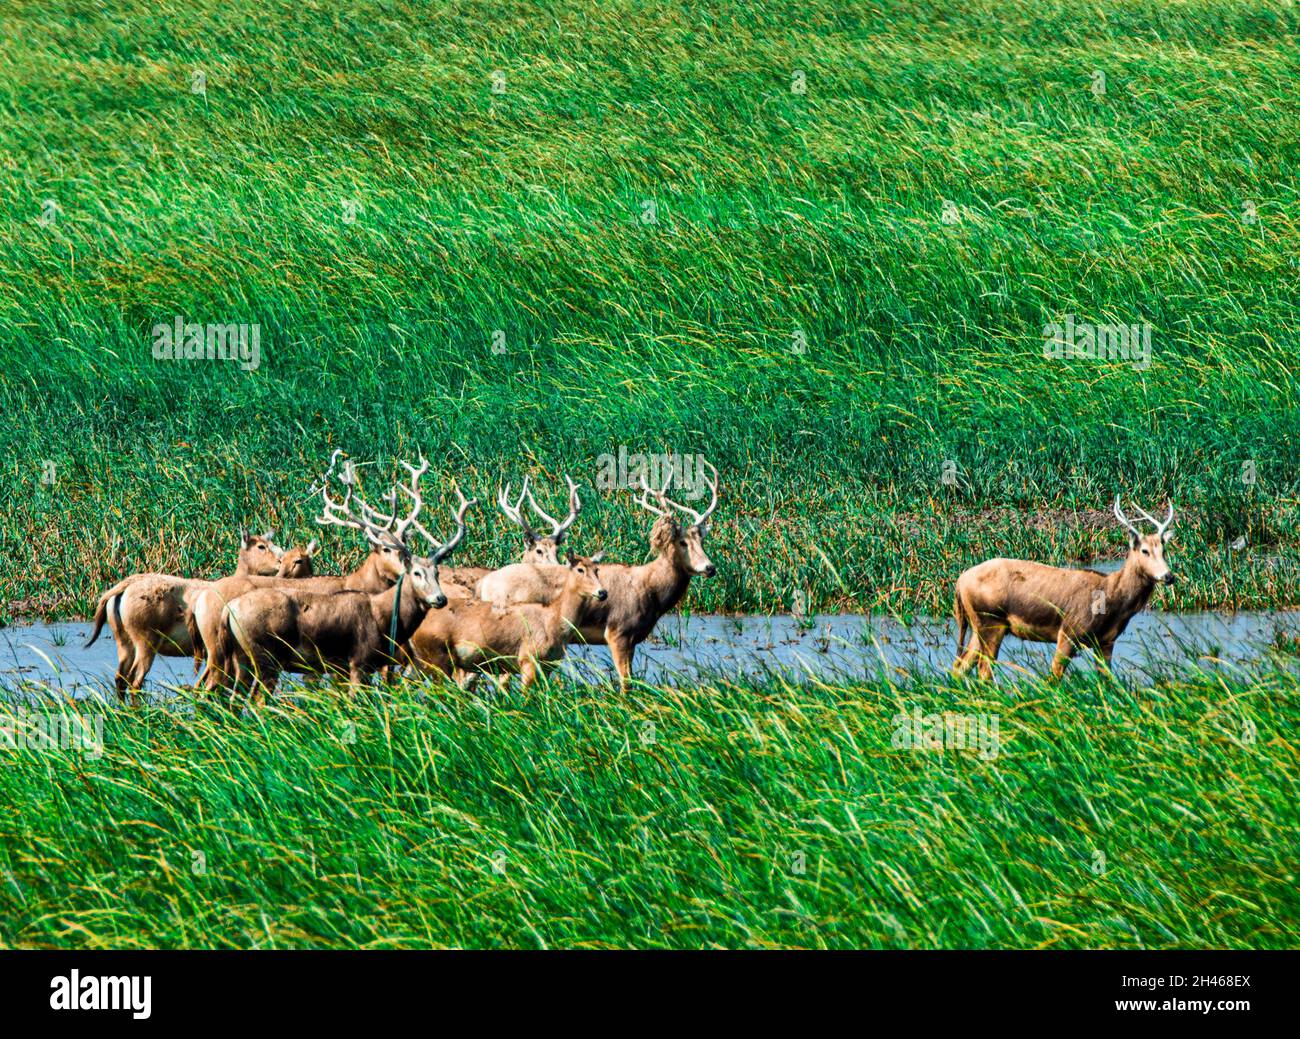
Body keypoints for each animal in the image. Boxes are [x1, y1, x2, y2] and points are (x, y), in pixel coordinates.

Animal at [84, 531, 310, 701]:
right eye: (261, 546)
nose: (280, 563)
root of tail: (123, 587)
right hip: (145, 641)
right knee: (135, 680)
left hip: (124, 641)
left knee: (120, 678)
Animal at [218, 480, 472, 700]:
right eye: (417, 573)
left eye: (437, 573)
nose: (440, 598)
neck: (384, 618)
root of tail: (228, 611)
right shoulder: (358, 660)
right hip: (265, 656)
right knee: (257, 700)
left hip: (241, 658)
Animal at [408, 553, 607, 691]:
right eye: (580, 569)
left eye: (597, 570)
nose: (602, 592)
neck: (553, 620)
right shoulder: (528, 660)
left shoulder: (549, 665)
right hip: (437, 659)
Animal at [458, 463, 720, 688]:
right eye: (682, 542)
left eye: (702, 540)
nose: (710, 568)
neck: (650, 590)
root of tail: (484, 584)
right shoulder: (617, 632)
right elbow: (626, 684)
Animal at [952, 498, 1176, 681]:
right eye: (1144, 551)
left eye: (1164, 550)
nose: (1168, 576)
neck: (1112, 599)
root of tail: (960, 581)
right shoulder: (1069, 631)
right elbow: (1053, 678)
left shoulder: (1106, 641)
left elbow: (1108, 681)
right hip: (991, 622)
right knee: (983, 670)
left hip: (978, 626)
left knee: (960, 665)